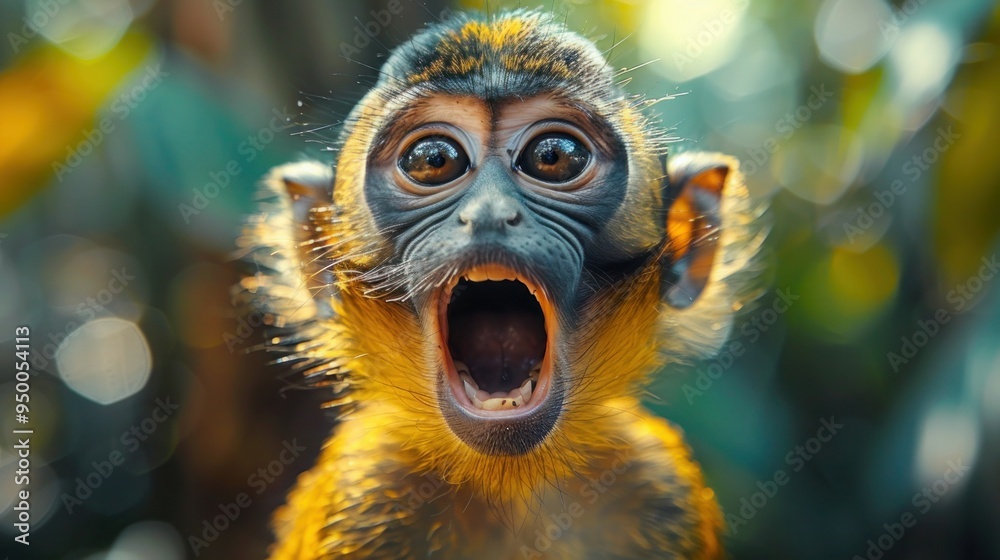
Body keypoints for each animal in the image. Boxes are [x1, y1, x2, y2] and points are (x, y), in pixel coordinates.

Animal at [236, 8, 763, 560]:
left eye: (553, 156)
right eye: (433, 160)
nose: (489, 213)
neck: (511, 484)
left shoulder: (662, 487)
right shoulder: (362, 492)